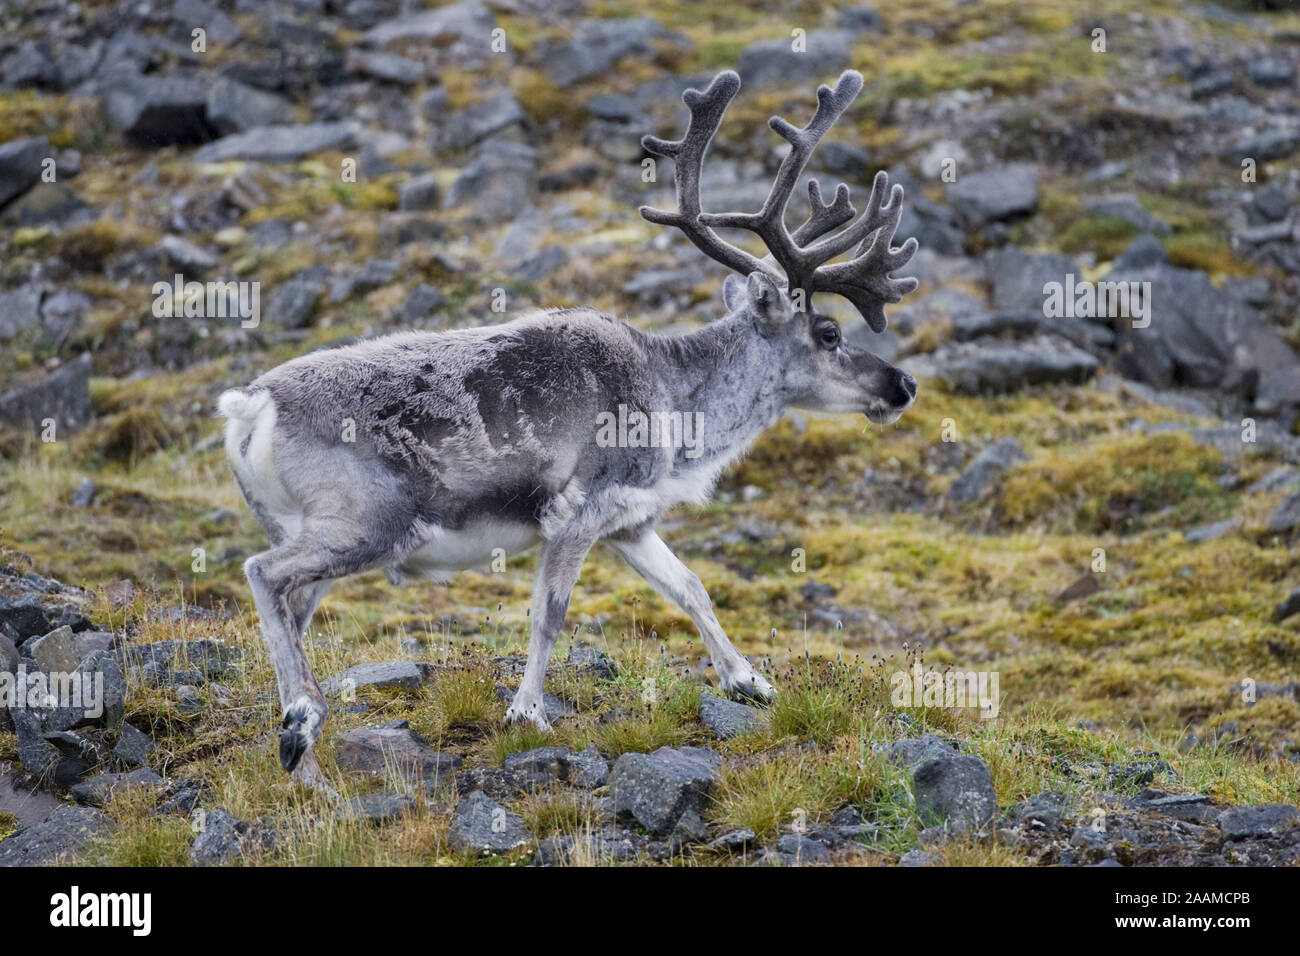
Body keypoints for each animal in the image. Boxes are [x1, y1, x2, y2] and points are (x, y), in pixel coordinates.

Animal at [218, 69, 919, 791]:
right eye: (829, 332)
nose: (903, 385)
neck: (678, 411)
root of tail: (250, 406)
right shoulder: (580, 509)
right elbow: (549, 613)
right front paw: (527, 713)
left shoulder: (632, 522)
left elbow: (692, 588)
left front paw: (749, 681)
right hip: (368, 521)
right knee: (262, 573)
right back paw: (302, 723)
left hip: (308, 527)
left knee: (290, 605)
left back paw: (307, 766)